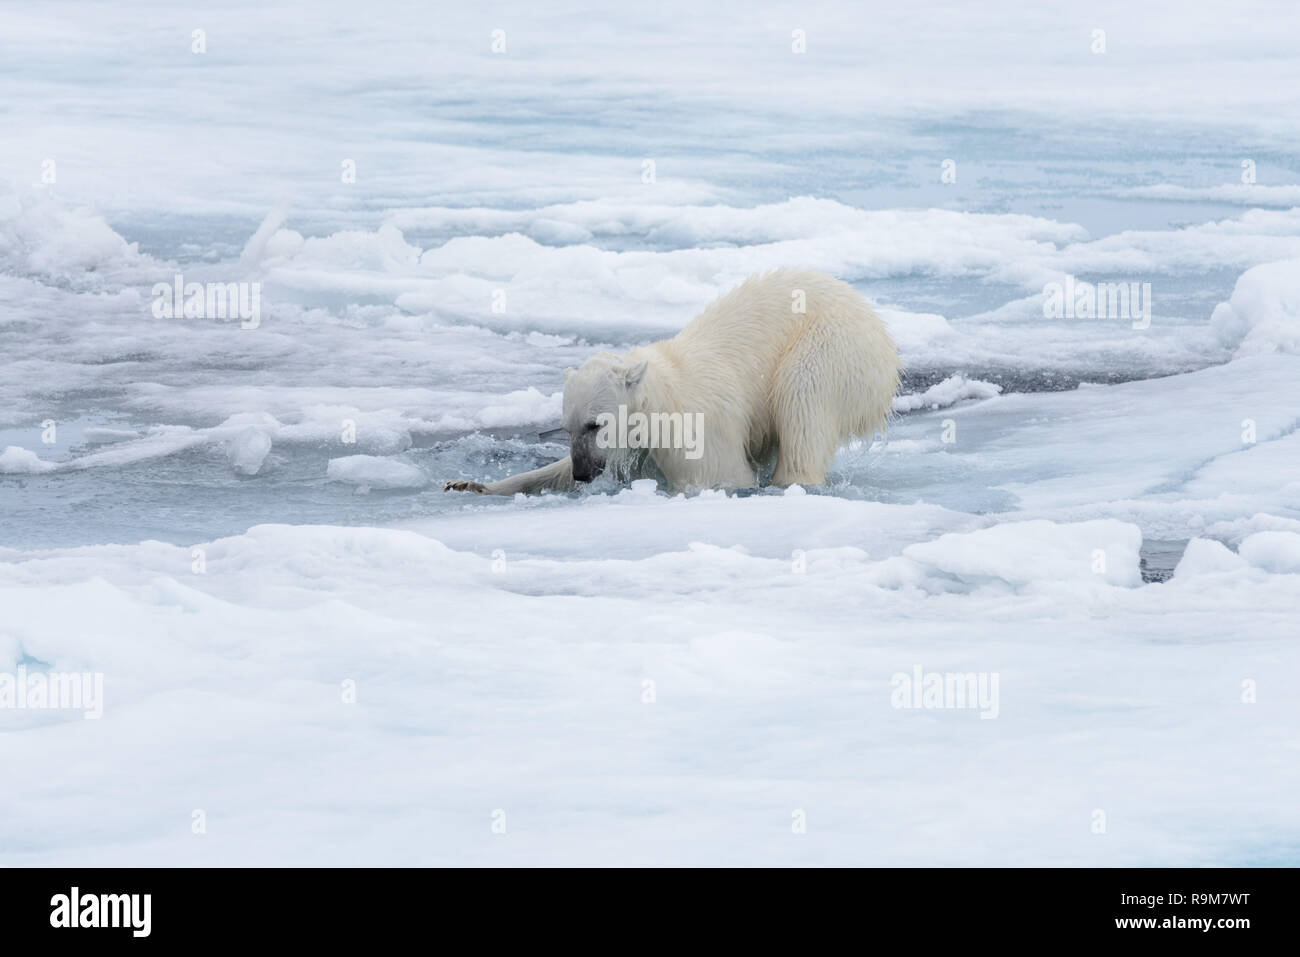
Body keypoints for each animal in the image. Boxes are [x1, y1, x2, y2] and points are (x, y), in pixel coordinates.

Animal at [444, 268, 901, 495]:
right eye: (567, 427)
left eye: (596, 424)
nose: (584, 473)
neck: (656, 403)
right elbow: (548, 474)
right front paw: (469, 483)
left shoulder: (693, 433)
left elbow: (723, 477)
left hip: (833, 349)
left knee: (803, 406)